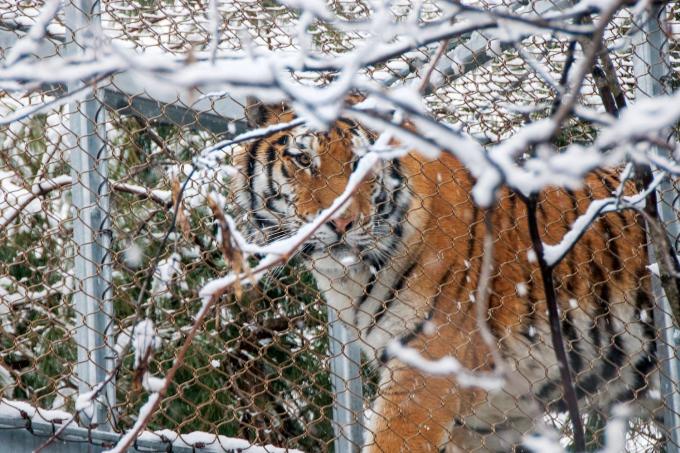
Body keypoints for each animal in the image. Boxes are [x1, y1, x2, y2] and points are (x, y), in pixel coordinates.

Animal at [230, 97, 658, 452]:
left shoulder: (427, 370)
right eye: (303, 160)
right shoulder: (487, 422)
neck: (350, 278)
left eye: (361, 162)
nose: (341, 222)